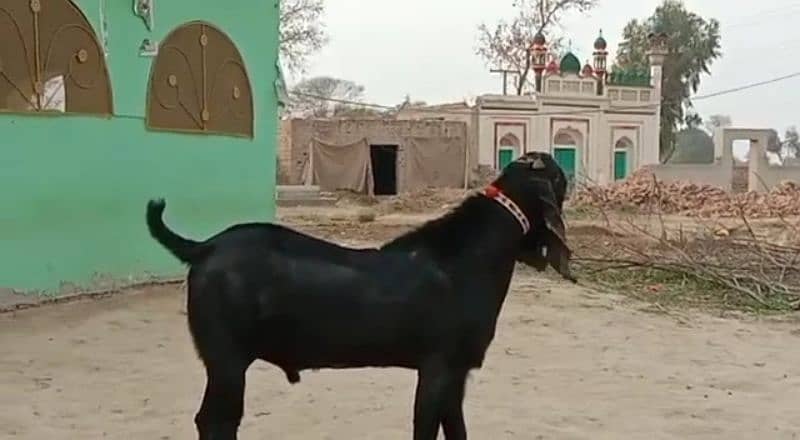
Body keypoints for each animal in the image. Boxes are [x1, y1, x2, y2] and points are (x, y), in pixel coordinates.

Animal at [146, 151, 574, 440]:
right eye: (557, 174)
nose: (572, 173)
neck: (469, 256)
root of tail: (205, 247)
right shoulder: (436, 367)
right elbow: (424, 428)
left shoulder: (457, 372)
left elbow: (457, 430)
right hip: (227, 359)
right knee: (215, 421)